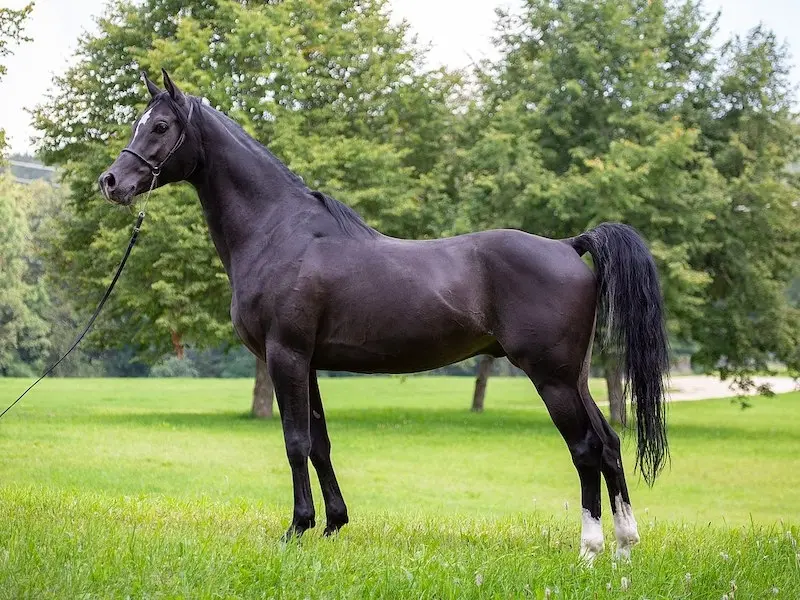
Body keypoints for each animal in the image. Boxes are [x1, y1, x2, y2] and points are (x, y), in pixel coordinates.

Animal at [99, 70, 669, 562]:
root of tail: (569, 245)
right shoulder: (307, 362)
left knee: (585, 448)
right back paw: (623, 547)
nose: (111, 181)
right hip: (575, 376)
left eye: (160, 126)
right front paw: (333, 524)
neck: (279, 231)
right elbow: (320, 443)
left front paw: (297, 528)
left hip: (551, 377)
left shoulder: (286, 356)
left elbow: (295, 442)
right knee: (610, 443)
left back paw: (590, 549)